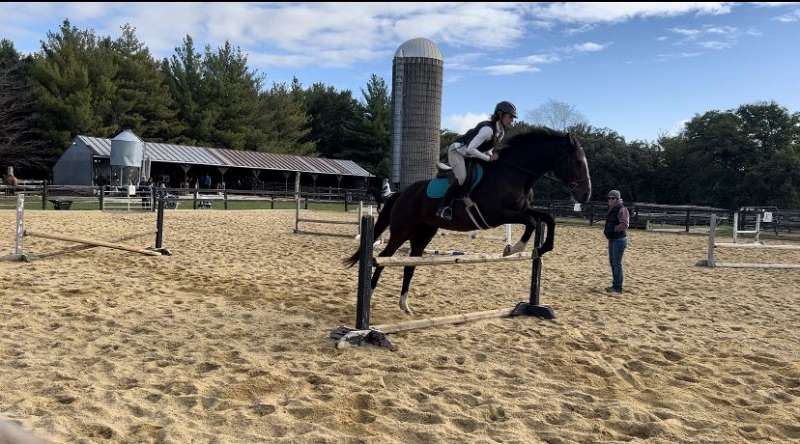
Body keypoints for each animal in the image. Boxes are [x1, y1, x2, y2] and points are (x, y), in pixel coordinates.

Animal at [344, 128, 592, 314]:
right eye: (578, 162)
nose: (586, 195)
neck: (514, 173)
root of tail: (402, 193)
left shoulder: (521, 209)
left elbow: (547, 217)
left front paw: (542, 248)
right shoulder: (498, 214)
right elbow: (530, 222)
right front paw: (514, 249)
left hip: (424, 233)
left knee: (410, 263)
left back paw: (405, 305)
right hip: (402, 230)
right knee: (384, 258)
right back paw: (370, 294)